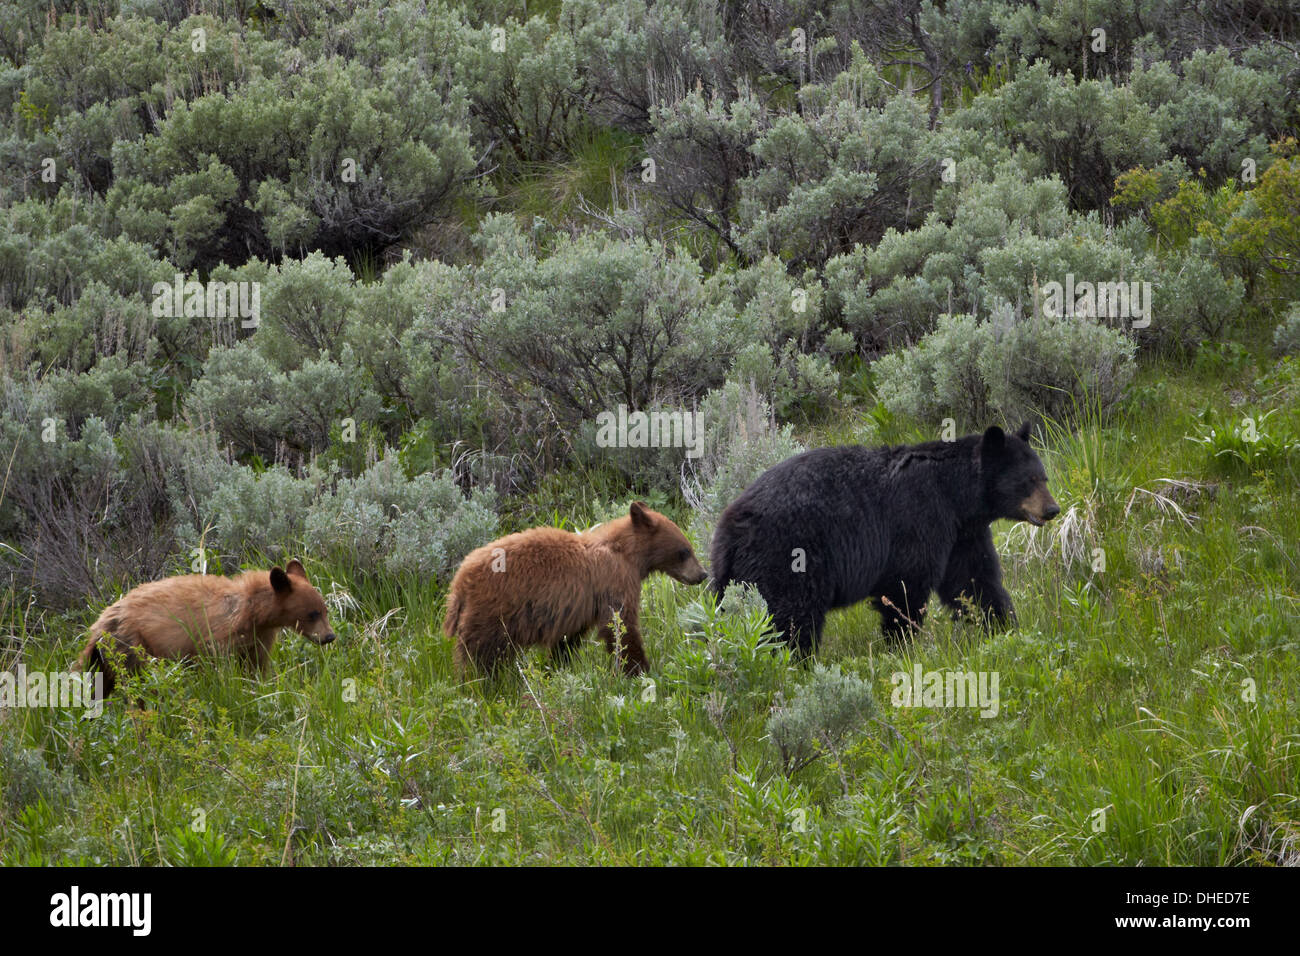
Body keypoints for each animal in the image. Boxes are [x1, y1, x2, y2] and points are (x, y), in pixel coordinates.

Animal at [74, 559, 335, 697]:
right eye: (312, 613)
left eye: (325, 609)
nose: (329, 636)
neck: (253, 610)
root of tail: (99, 623)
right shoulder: (220, 634)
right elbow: (218, 666)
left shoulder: (259, 638)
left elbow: (256, 667)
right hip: (131, 646)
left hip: (105, 658)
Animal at [444, 501, 708, 678]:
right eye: (685, 550)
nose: (702, 574)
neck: (626, 553)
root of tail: (460, 580)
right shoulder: (615, 580)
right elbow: (620, 624)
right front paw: (639, 669)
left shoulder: (575, 610)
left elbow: (568, 640)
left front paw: (557, 666)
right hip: (491, 614)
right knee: (480, 655)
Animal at [710, 423, 1059, 655]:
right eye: (1028, 481)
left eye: (1043, 476)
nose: (1053, 509)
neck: (955, 496)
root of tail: (728, 529)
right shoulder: (920, 519)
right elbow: (905, 585)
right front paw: (900, 645)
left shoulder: (962, 534)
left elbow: (974, 581)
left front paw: (1002, 628)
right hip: (787, 558)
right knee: (790, 617)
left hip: (735, 575)